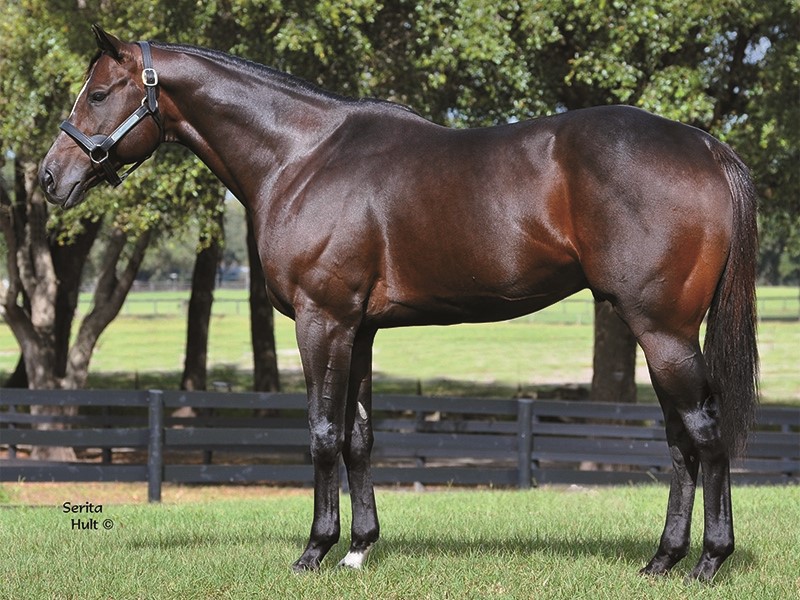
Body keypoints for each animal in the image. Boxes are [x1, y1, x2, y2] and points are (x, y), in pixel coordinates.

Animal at [40, 26, 758, 581]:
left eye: (98, 93)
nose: (49, 177)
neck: (300, 157)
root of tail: (705, 145)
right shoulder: (358, 330)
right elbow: (359, 436)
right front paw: (359, 549)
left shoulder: (321, 321)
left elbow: (323, 433)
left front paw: (315, 550)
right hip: (657, 331)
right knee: (679, 441)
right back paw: (661, 560)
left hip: (661, 329)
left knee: (703, 432)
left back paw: (707, 562)